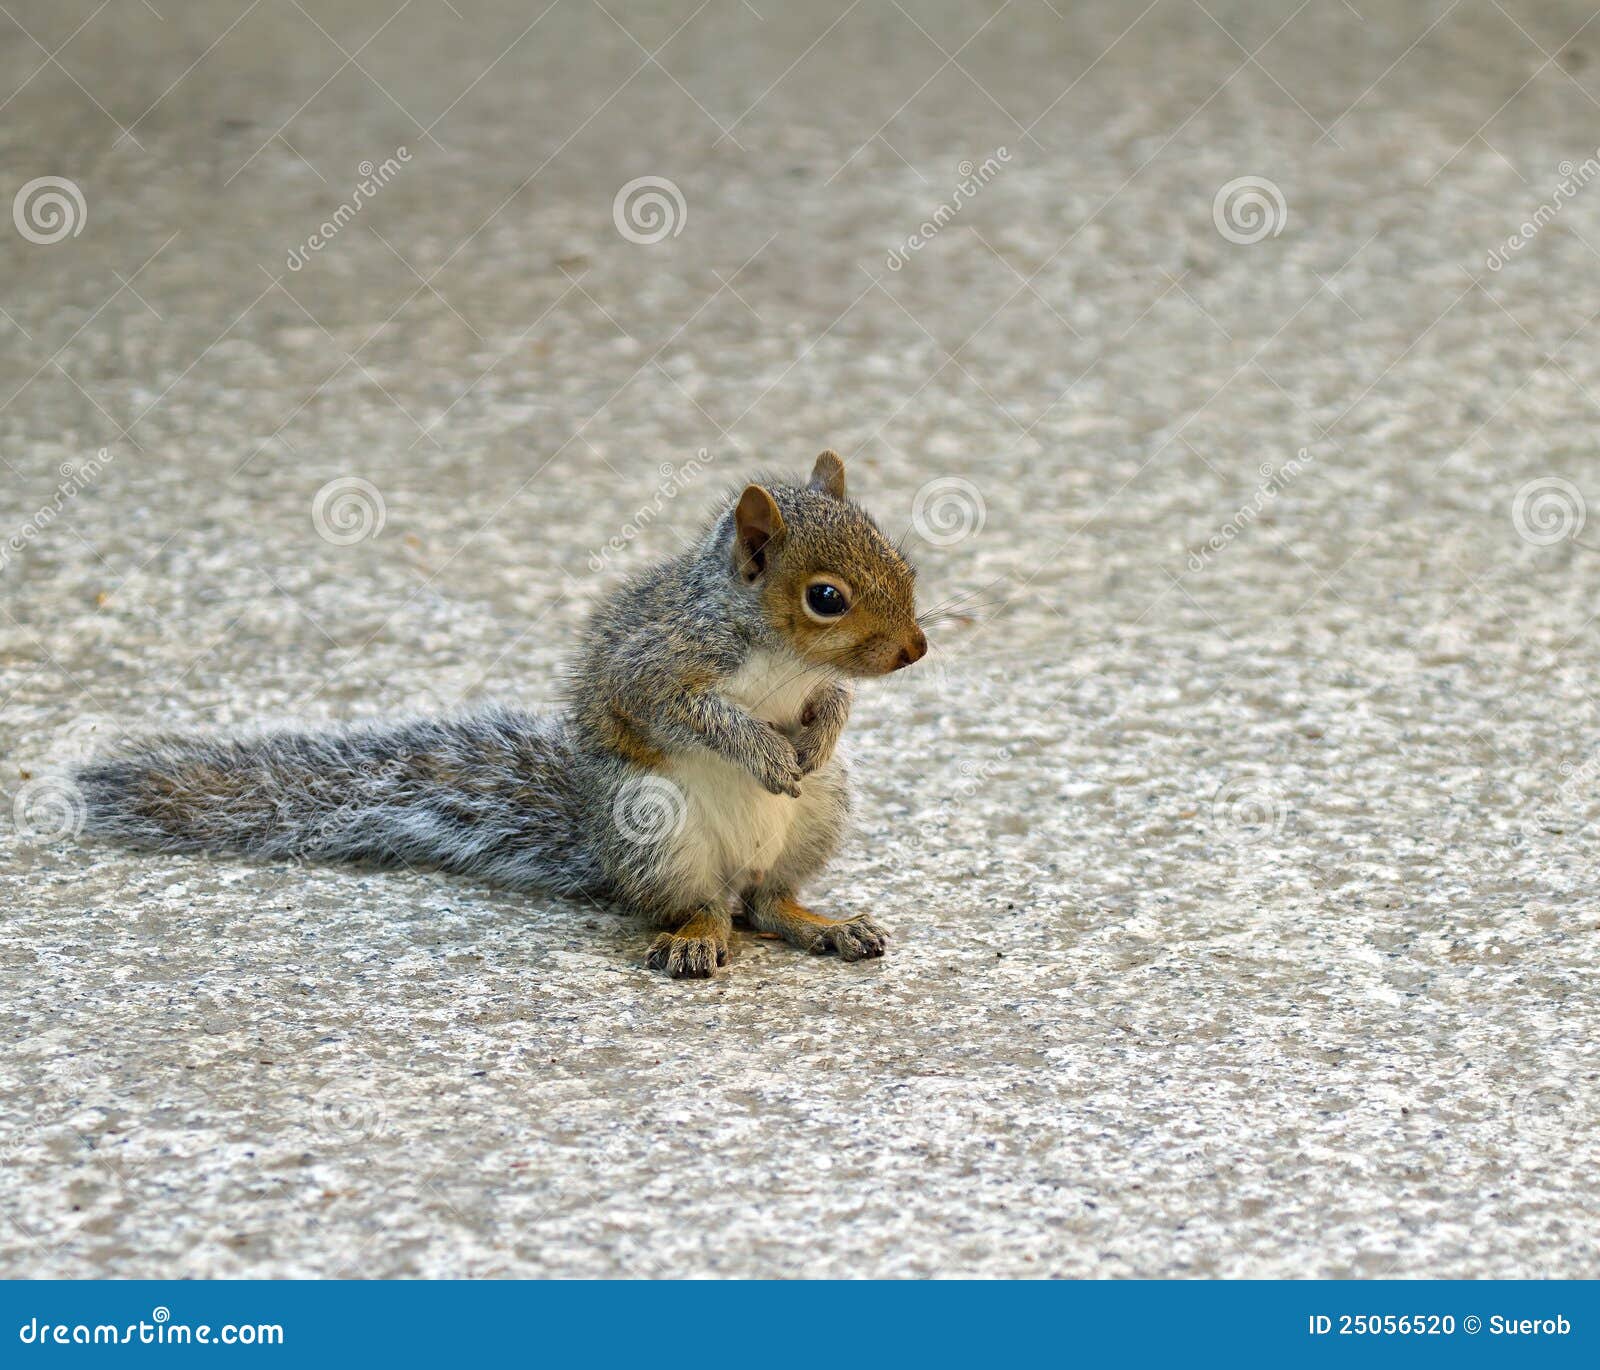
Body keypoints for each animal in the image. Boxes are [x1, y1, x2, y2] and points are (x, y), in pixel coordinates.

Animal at [76, 450, 928, 979]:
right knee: (707, 908)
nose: (917, 649)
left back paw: (824, 923)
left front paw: (821, 730)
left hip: (816, 816)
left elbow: (834, 697)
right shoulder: (657, 665)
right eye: (826, 598)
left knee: (766, 902)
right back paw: (697, 937)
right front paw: (763, 748)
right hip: (657, 834)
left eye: (903, 561)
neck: (781, 654)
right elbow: (685, 711)